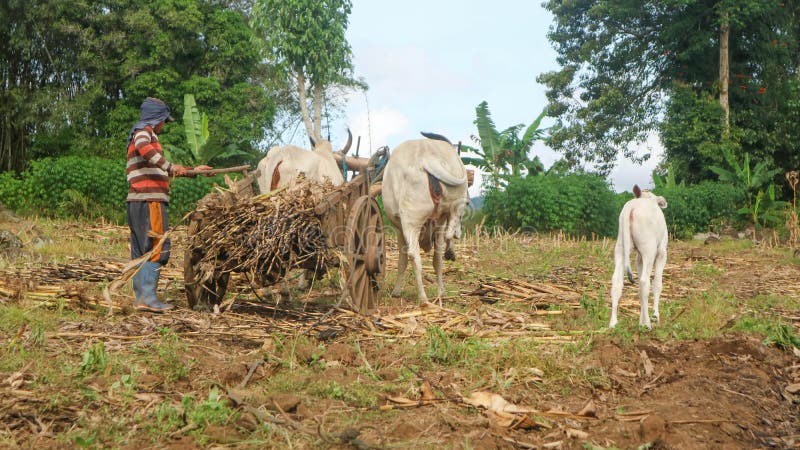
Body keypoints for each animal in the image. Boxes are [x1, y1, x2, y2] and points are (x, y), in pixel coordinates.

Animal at [382, 132, 470, 303]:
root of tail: (427, 158)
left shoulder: (400, 229)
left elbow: (402, 260)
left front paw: (396, 291)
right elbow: (437, 259)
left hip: (411, 221)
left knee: (413, 255)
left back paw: (423, 297)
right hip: (455, 203)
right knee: (440, 246)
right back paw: (431, 295)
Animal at [609, 185, 668, 329]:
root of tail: (631, 207)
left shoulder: (639, 258)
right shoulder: (662, 252)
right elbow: (657, 284)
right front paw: (655, 316)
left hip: (620, 247)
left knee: (616, 282)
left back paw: (613, 323)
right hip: (649, 249)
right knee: (644, 282)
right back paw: (647, 324)